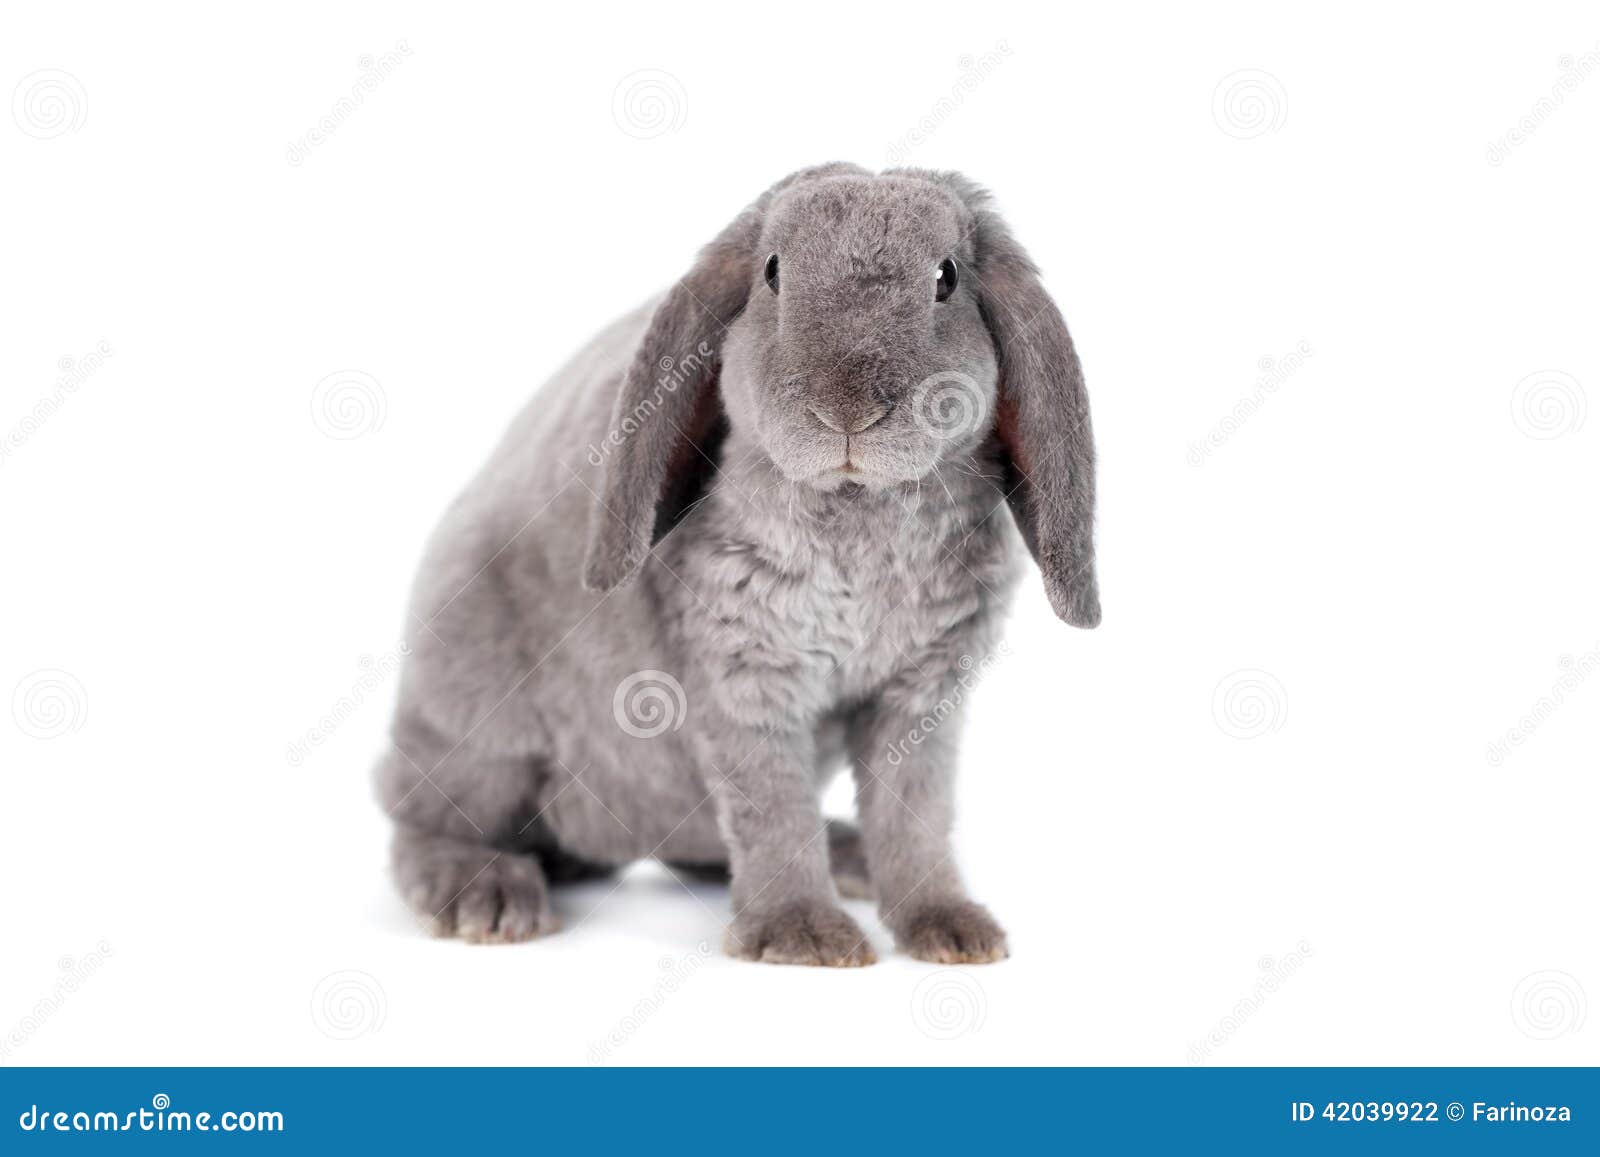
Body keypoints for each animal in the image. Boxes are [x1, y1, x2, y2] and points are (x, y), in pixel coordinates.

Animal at [375, 162, 1099, 966]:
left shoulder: (920, 698)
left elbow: (914, 818)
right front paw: (802, 934)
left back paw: (848, 855)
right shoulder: (747, 686)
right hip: (478, 731)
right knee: (421, 820)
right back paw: (486, 897)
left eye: (946, 277)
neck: (857, 509)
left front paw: (951, 927)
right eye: (773, 273)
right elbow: (773, 812)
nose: (844, 407)